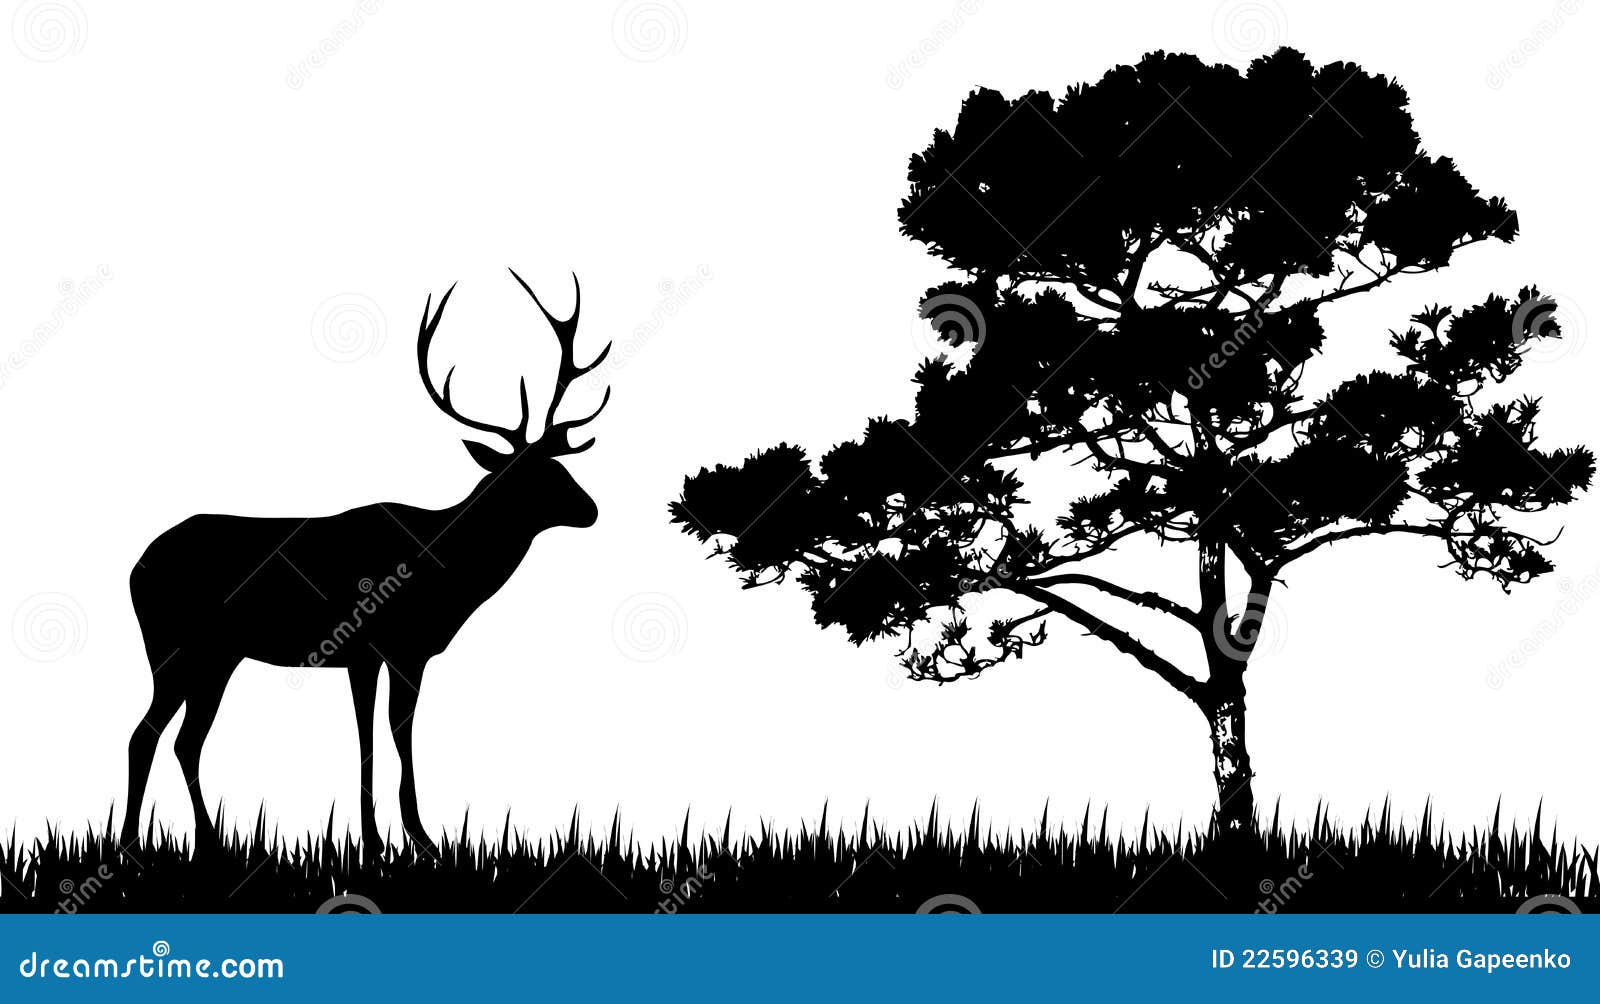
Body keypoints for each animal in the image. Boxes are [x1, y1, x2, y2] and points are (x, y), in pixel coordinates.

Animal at [120, 270, 610, 857]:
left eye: (560, 465)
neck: (445, 573)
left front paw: (398, 840)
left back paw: (205, 843)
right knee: (146, 734)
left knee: (183, 740)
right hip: (175, 647)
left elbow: (384, 736)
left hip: (217, 657)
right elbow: (381, 738)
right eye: (526, 475)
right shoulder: (379, 647)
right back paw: (133, 846)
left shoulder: (390, 655)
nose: (592, 508)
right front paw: (403, 842)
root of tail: (134, 568)